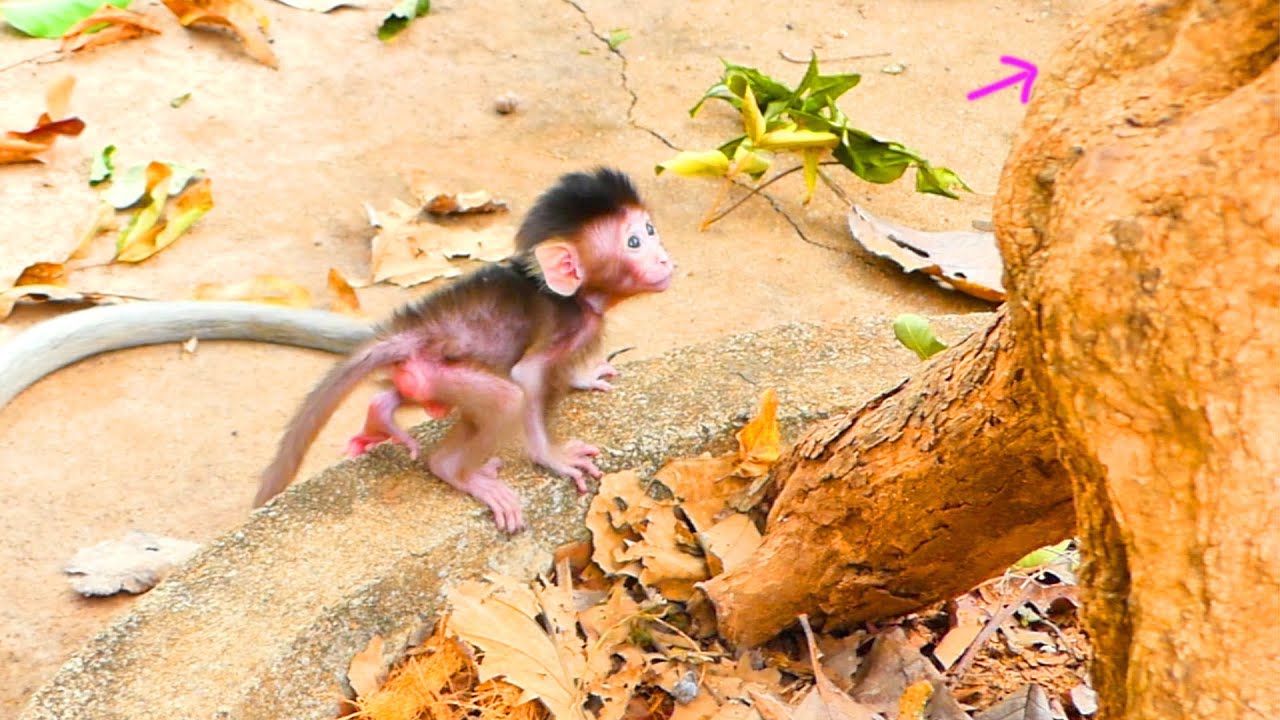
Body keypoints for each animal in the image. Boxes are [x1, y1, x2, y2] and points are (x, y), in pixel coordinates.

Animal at [252, 168, 672, 531]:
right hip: (440, 370)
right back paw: (455, 471)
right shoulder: (570, 325)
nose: (664, 257)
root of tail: (411, 332)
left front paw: (585, 375)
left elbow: (563, 368)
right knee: (505, 399)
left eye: (651, 230)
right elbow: (528, 375)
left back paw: (381, 416)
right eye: (634, 242)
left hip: (419, 372)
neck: (577, 295)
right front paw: (553, 457)